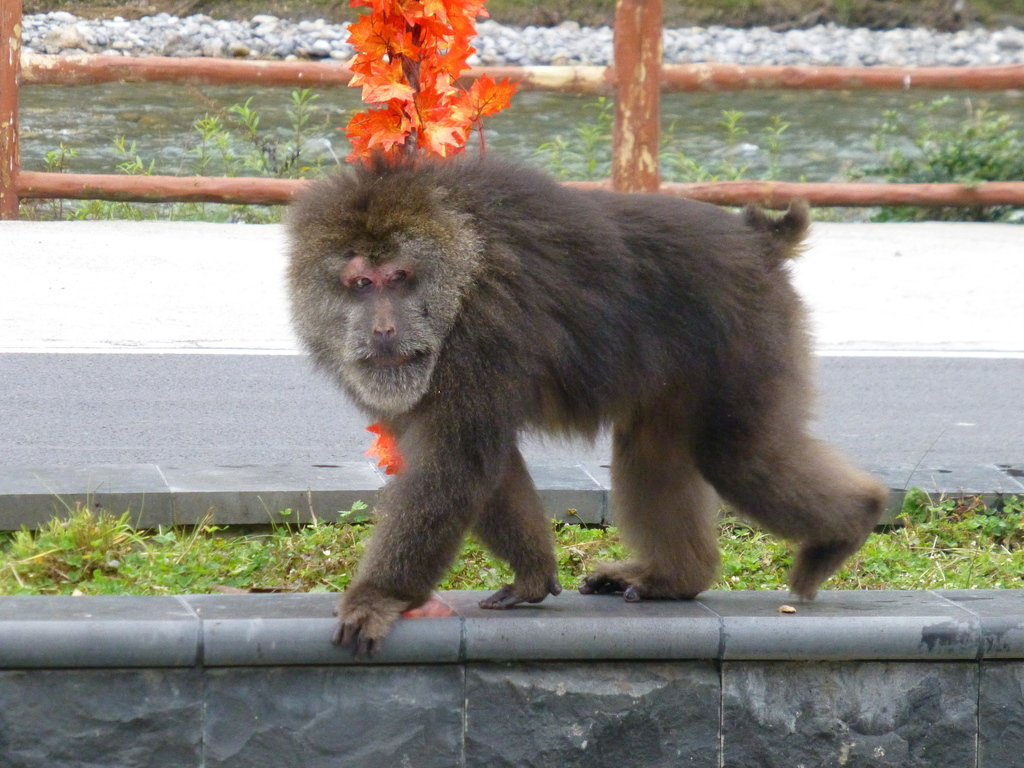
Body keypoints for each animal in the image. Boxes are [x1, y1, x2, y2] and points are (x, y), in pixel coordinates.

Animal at [286, 153, 888, 655]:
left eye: (399, 278)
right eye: (360, 283)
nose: (383, 329)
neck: (462, 274)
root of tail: (757, 242)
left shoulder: (481, 332)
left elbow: (453, 463)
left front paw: (380, 597)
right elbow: (485, 465)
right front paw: (533, 576)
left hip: (749, 332)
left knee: (738, 457)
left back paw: (852, 523)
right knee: (654, 451)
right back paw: (677, 580)